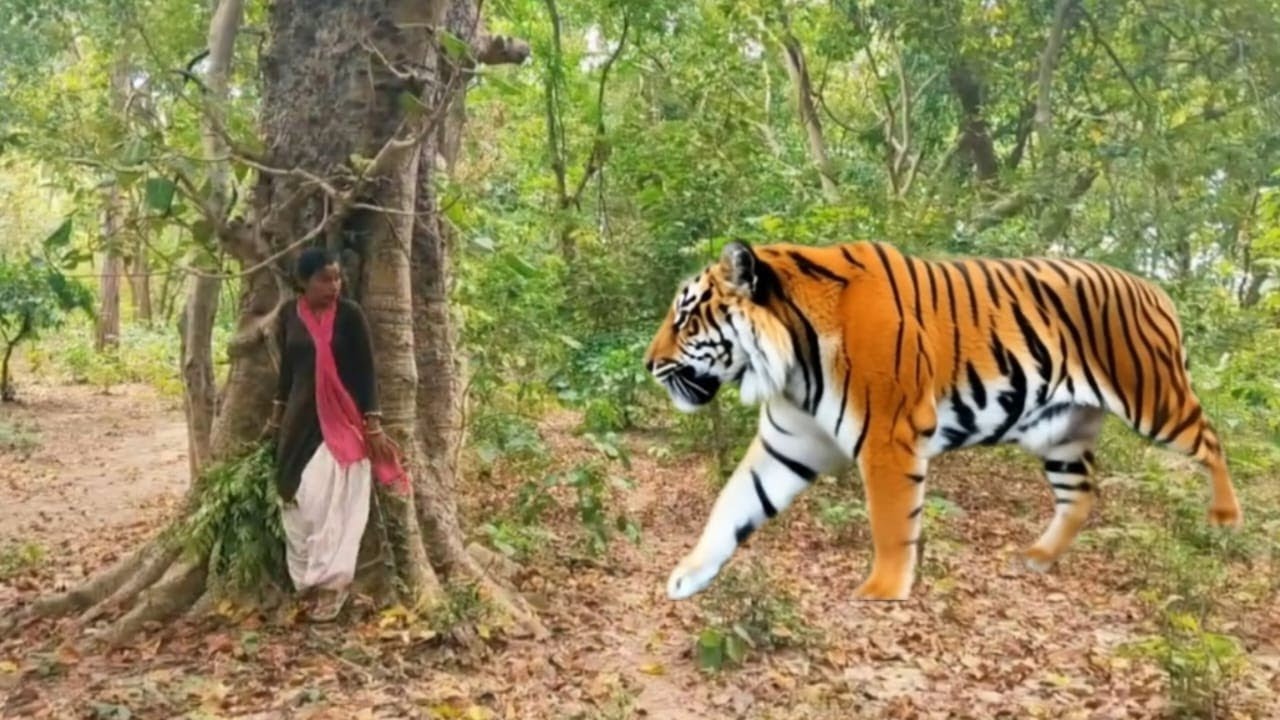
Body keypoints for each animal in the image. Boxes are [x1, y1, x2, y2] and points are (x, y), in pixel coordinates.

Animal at [643, 239, 1242, 601]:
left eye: (685, 318)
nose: (649, 364)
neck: (792, 363)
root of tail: (1155, 288)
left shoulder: (888, 439)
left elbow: (891, 524)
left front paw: (882, 594)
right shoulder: (787, 443)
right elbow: (732, 504)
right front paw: (688, 575)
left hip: (1154, 402)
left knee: (1212, 439)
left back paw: (1225, 518)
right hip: (1059, 431)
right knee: (1081, 493)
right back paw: (1038, 556)